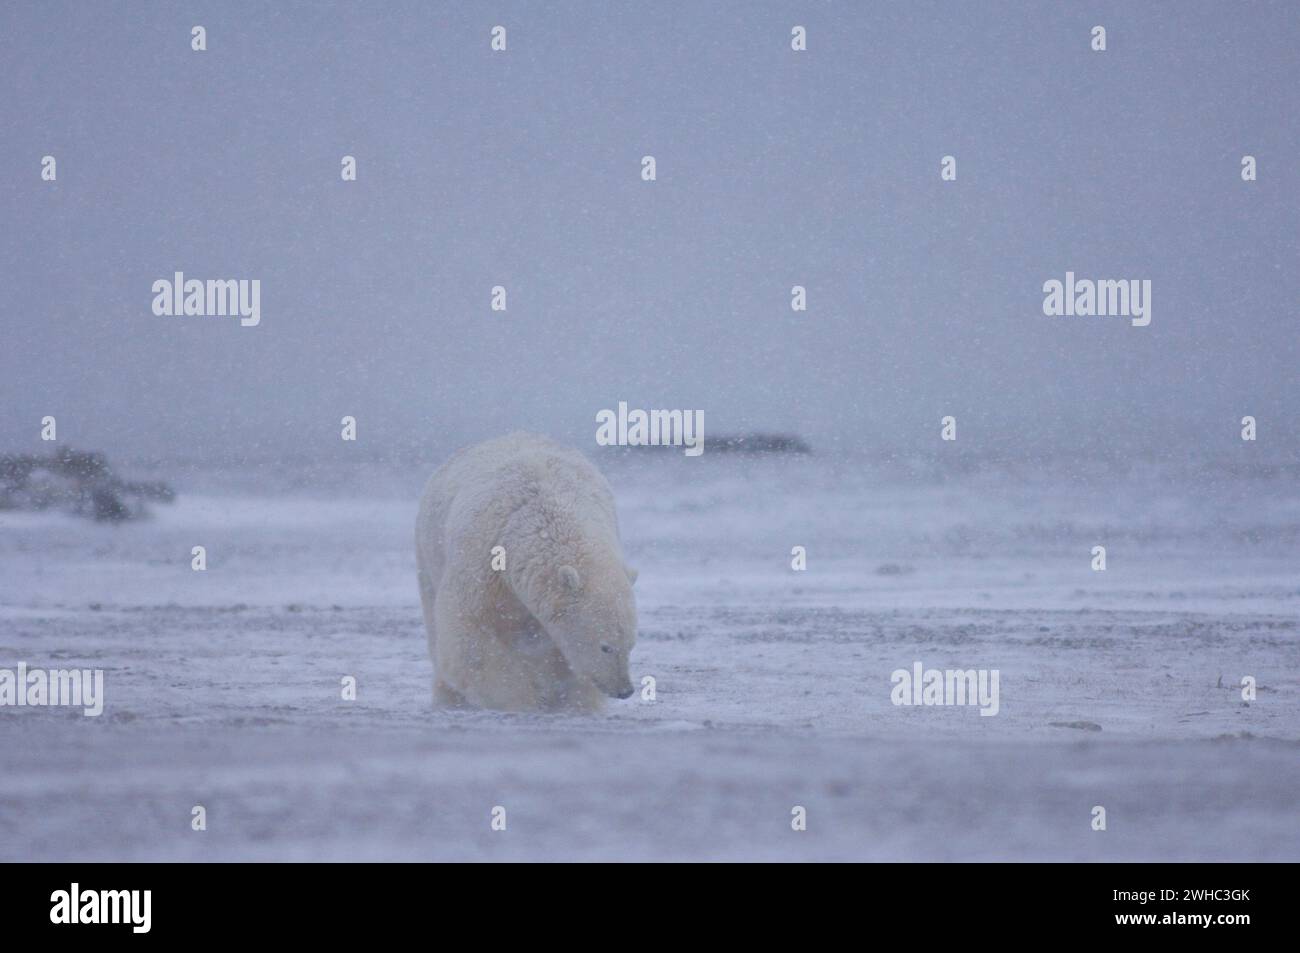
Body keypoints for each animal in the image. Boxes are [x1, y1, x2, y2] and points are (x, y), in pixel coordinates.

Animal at [415, 432, 638, 712]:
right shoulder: (484, 567)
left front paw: (575, 701)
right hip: (429, 553)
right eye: (605, 647)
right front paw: (523, 700)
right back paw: (449, 698)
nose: (625, 689)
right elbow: (472, 641)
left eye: (631, 644)